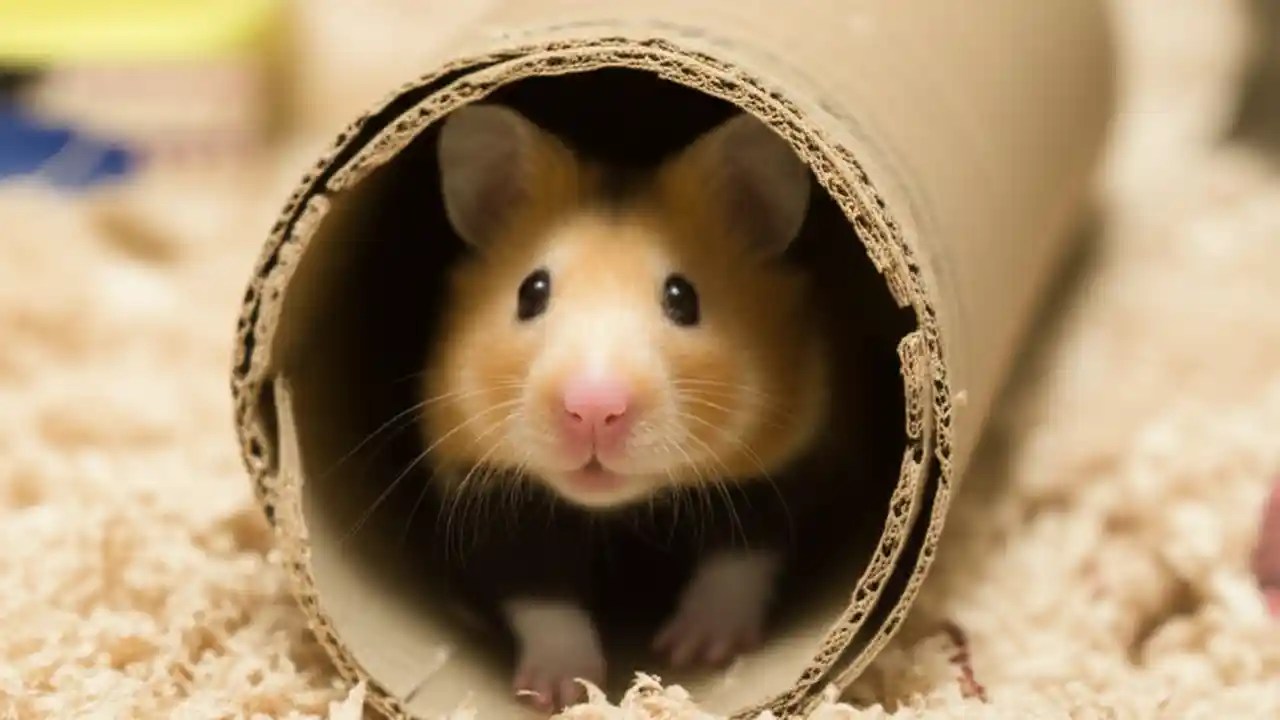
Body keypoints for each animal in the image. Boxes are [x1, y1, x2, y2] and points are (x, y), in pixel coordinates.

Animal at [422, 103, 842, 712]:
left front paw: (697, 651)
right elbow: (542, 597)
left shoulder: (787, 470)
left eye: (683, 298)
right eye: (531, 292)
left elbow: (740, 555)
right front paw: (560, 692)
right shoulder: (492, 506)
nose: (594, 409)